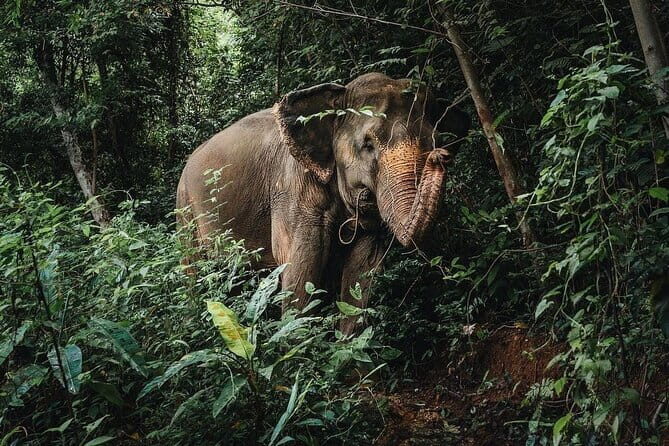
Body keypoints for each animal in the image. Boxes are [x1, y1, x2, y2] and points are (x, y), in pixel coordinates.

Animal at [176, 73, 469, 332]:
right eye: (367, 144)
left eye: (433, 141)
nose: (440, 156)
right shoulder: (292, 189)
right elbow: (300, 270)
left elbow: (362, 272)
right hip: (185, 211)